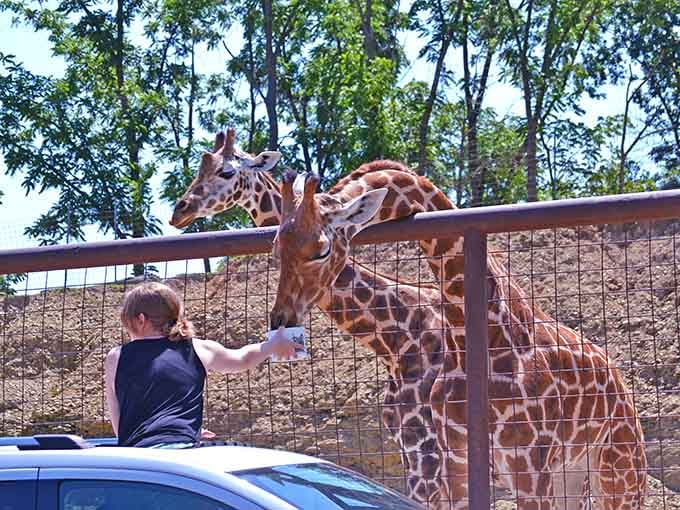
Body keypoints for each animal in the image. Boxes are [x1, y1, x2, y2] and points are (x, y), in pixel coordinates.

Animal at [170, 131, 647, 508]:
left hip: (619, 467)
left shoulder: (504, 461)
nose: (180, 209)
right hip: (572, 472)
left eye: (322, 249)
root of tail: (620, 381)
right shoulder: (443, 456)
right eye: (274, 247)